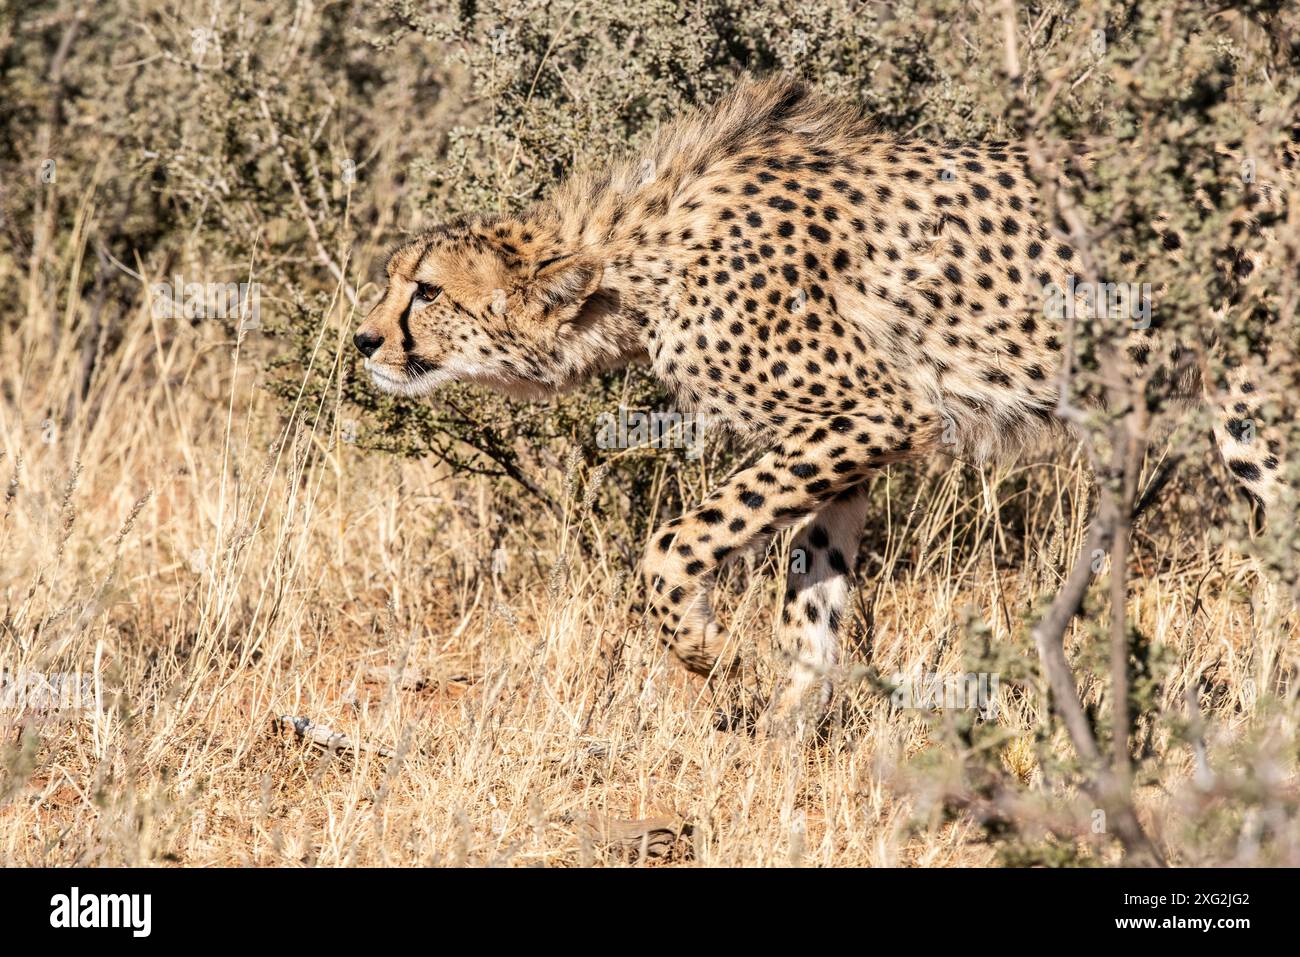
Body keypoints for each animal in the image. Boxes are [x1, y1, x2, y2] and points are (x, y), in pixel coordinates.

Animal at [353, 77, 1292, 734]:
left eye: (426, 291)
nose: (363, 341)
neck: (642, 262)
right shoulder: (841, 446)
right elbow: (811, 585)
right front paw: (790, 719)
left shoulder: (877, 411)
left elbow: (674, 542)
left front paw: (706, 651)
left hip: (1255, 407)